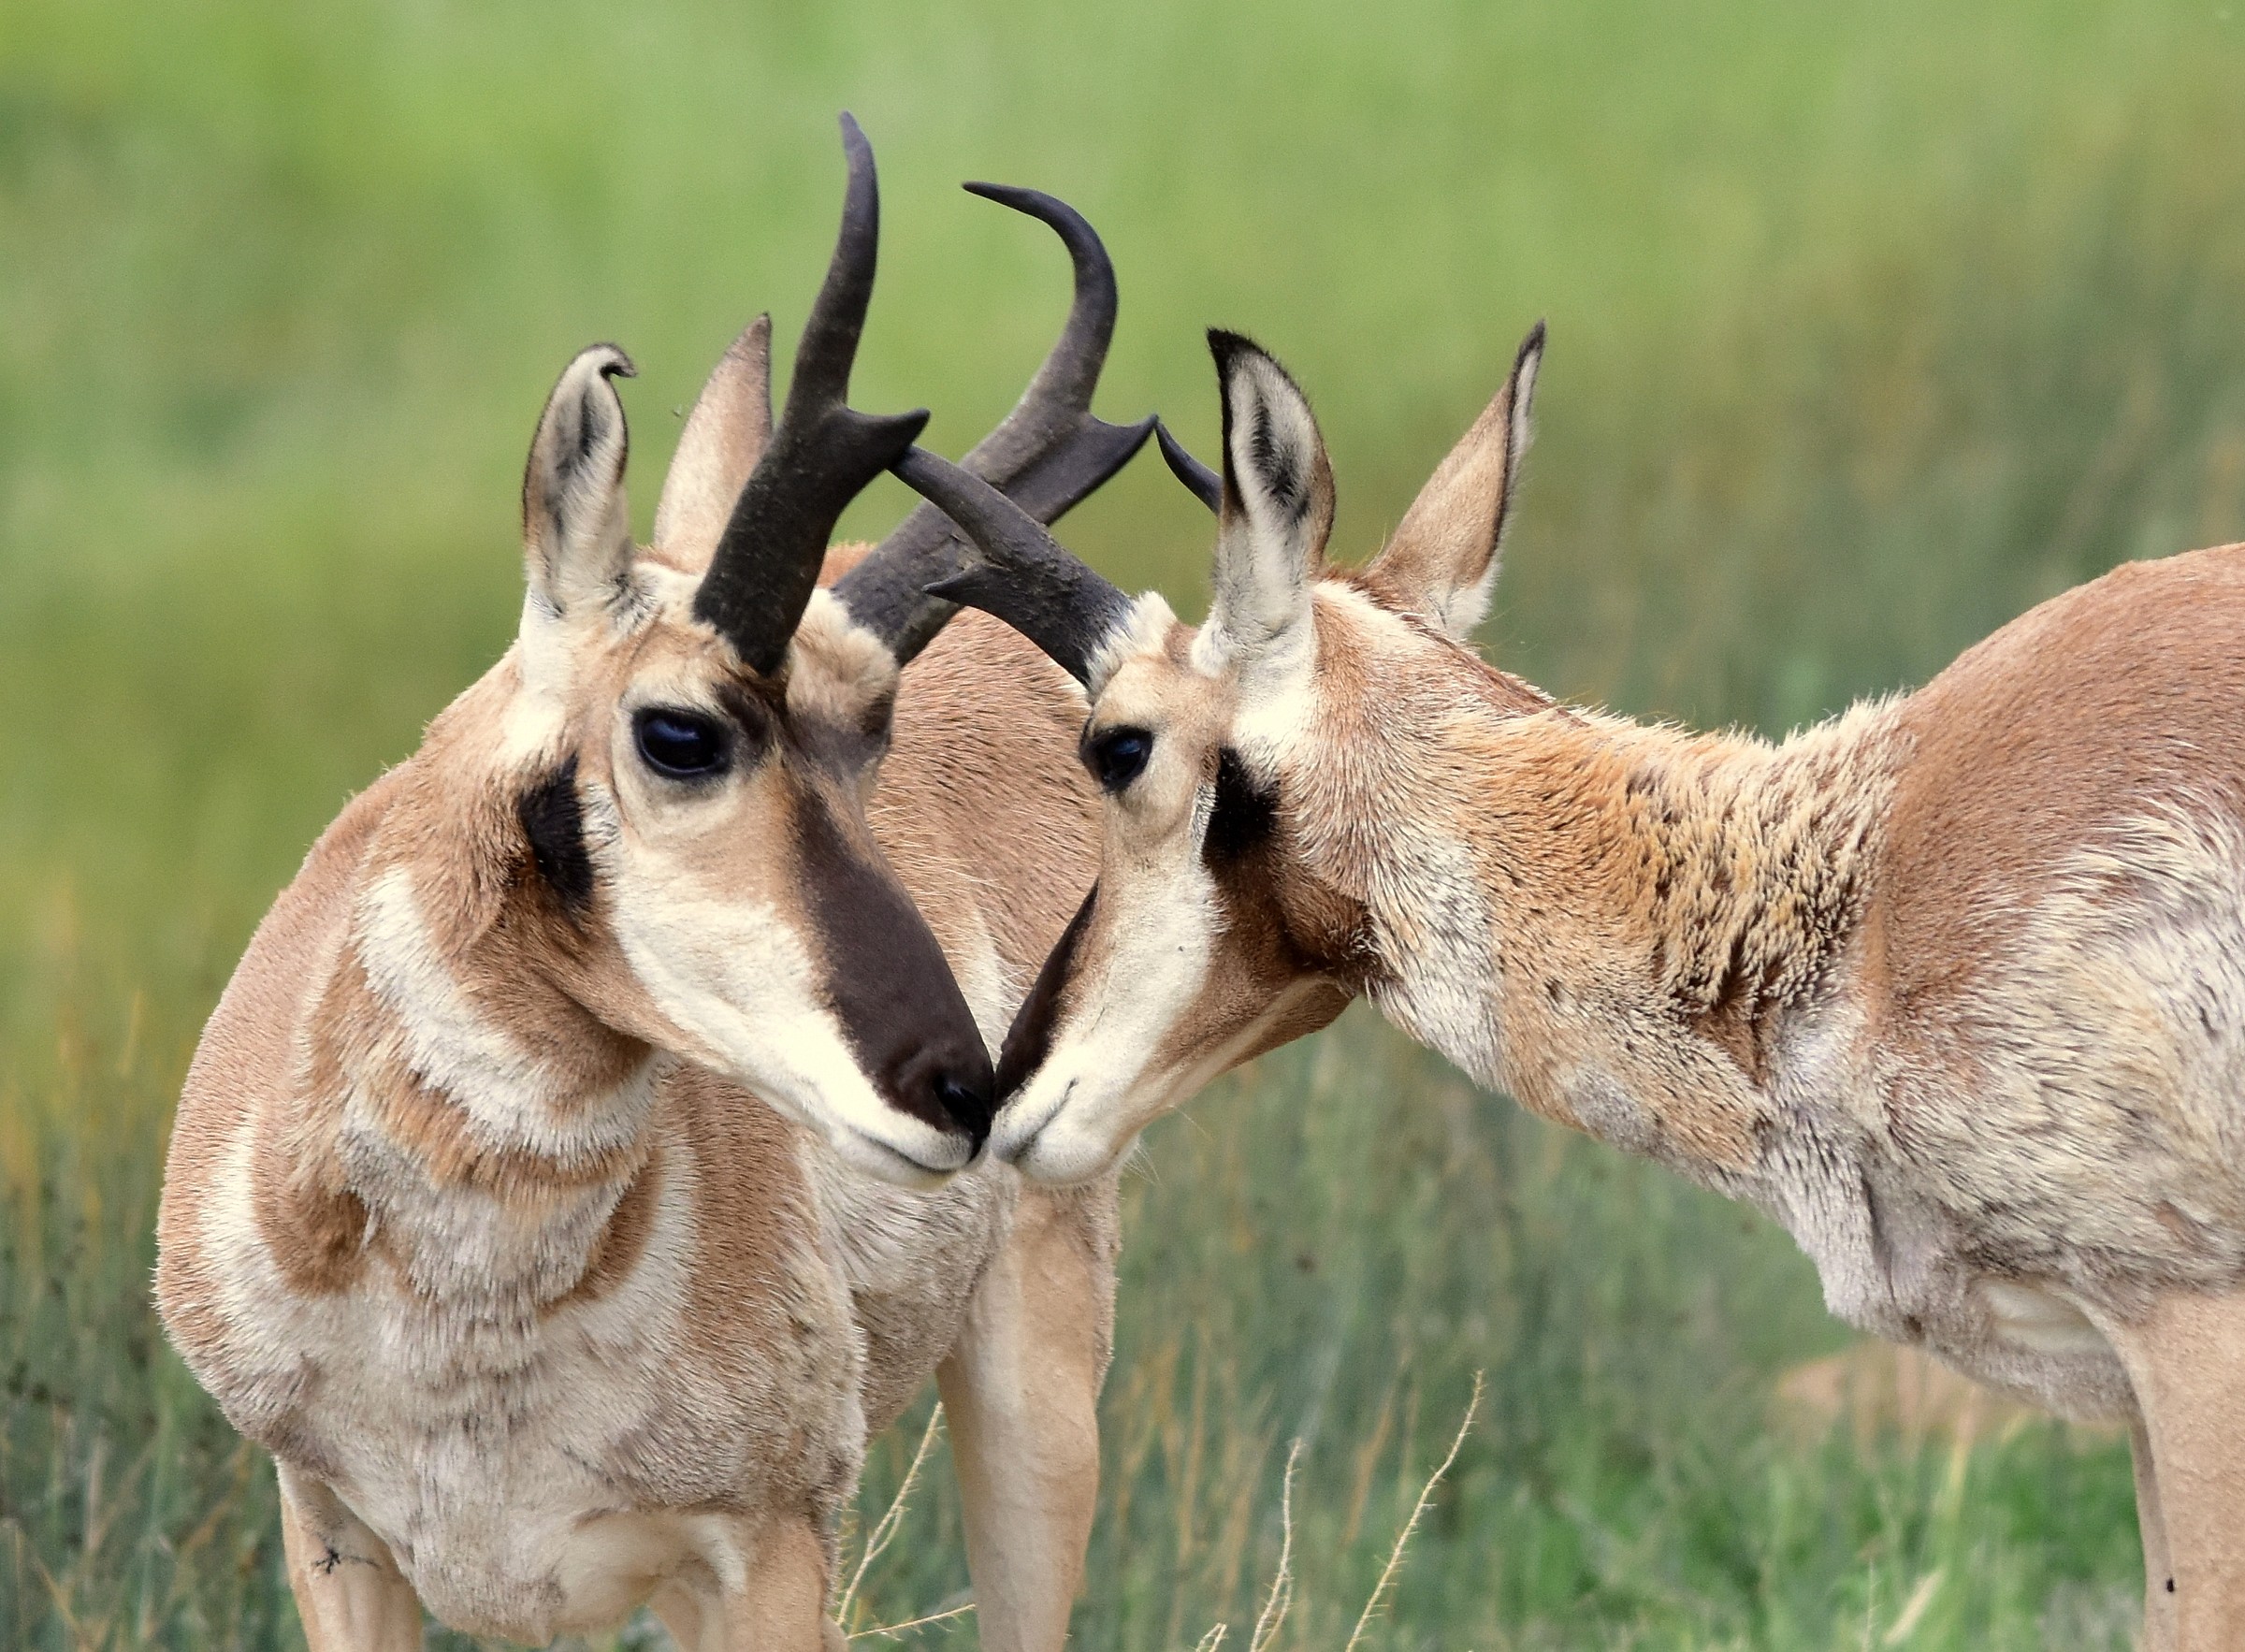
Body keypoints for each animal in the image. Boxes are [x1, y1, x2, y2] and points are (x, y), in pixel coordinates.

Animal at [155, 115, 1147, 1652]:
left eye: (873, 727)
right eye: (679, 730)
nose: (963, 1086)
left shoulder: (766, 1548)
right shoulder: (332, 1534)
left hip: (1038, 1394)